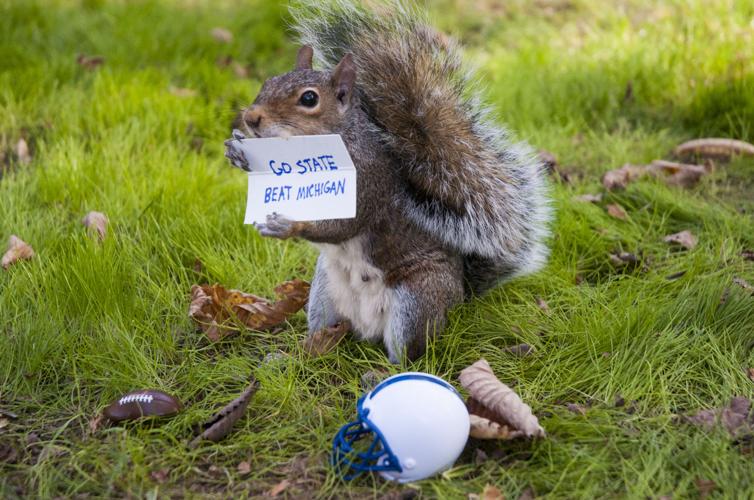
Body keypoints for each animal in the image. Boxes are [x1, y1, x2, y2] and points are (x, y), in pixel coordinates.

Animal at [224, 1, 551, 363]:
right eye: (269, 81)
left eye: (309, 99)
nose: (251, 118)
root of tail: (459, 299)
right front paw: (239, 153)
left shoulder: (366, 181)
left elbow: (343, 224)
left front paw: (289, 225)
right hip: (323, 295)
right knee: (324, 338)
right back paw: (294, 355)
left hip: (415, 302)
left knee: (407, 354)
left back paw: (380, 370)